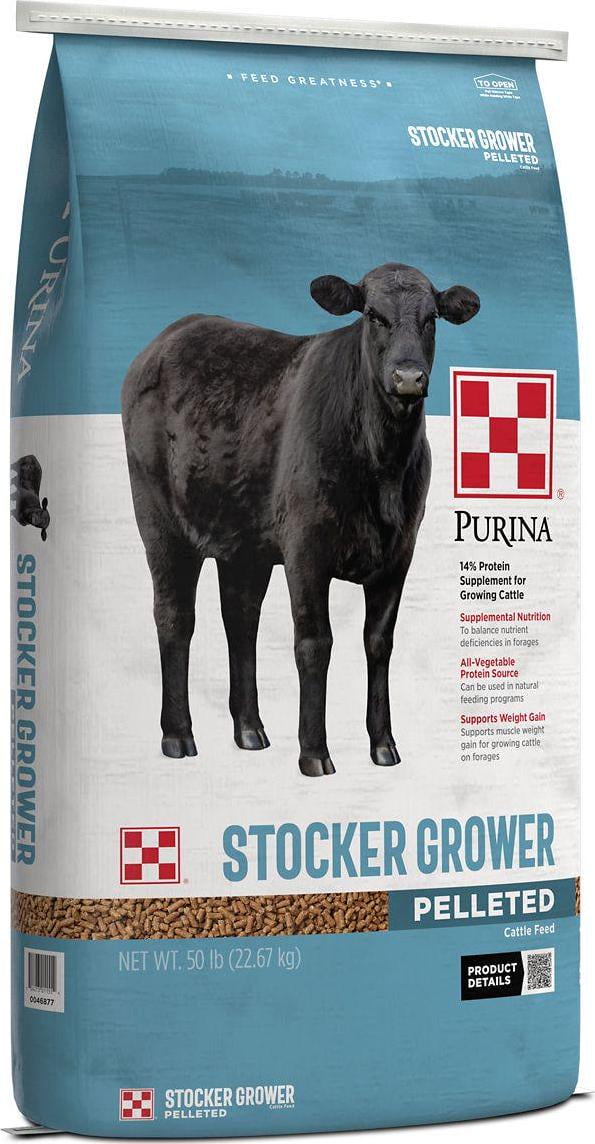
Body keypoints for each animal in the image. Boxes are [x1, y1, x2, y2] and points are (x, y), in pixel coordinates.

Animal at [122, 263, 479, 775]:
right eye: (373, 315)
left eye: (431, 319)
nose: (409, 377)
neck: (383, 465)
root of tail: (169, 336)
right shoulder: (306, 550)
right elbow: (314, 643)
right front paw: (314, 751)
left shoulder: (399, 554)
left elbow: (379, 643)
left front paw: (383, 745)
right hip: (160, 524)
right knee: (174, 617)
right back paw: (178, 735)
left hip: (243, 546)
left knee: (240, 618)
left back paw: (251, 730)